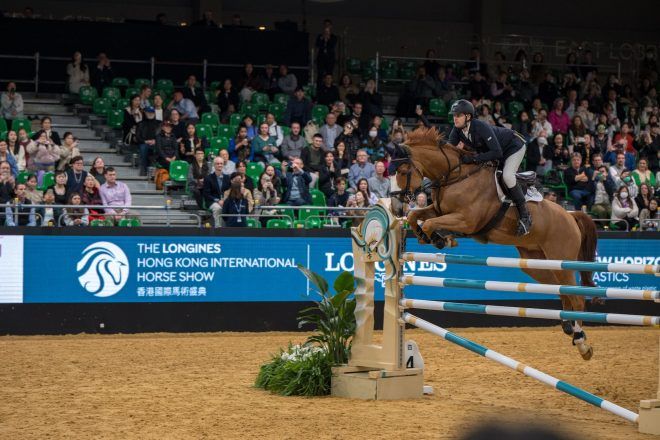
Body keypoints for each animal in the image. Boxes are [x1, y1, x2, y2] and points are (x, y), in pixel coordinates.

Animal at [390, 127, 599, 360]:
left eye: (403, 171)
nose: (395, 207)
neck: (455, 176)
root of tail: (570, 215)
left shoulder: (466, 220)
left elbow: (429, 223)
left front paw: (440, 239)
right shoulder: (439, 209)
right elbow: (416, 215)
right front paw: (428, 236)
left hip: (561, 258)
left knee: (576, 296)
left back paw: (582, 343)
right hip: (537, 263)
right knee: (562, 289)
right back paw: (568, 326)